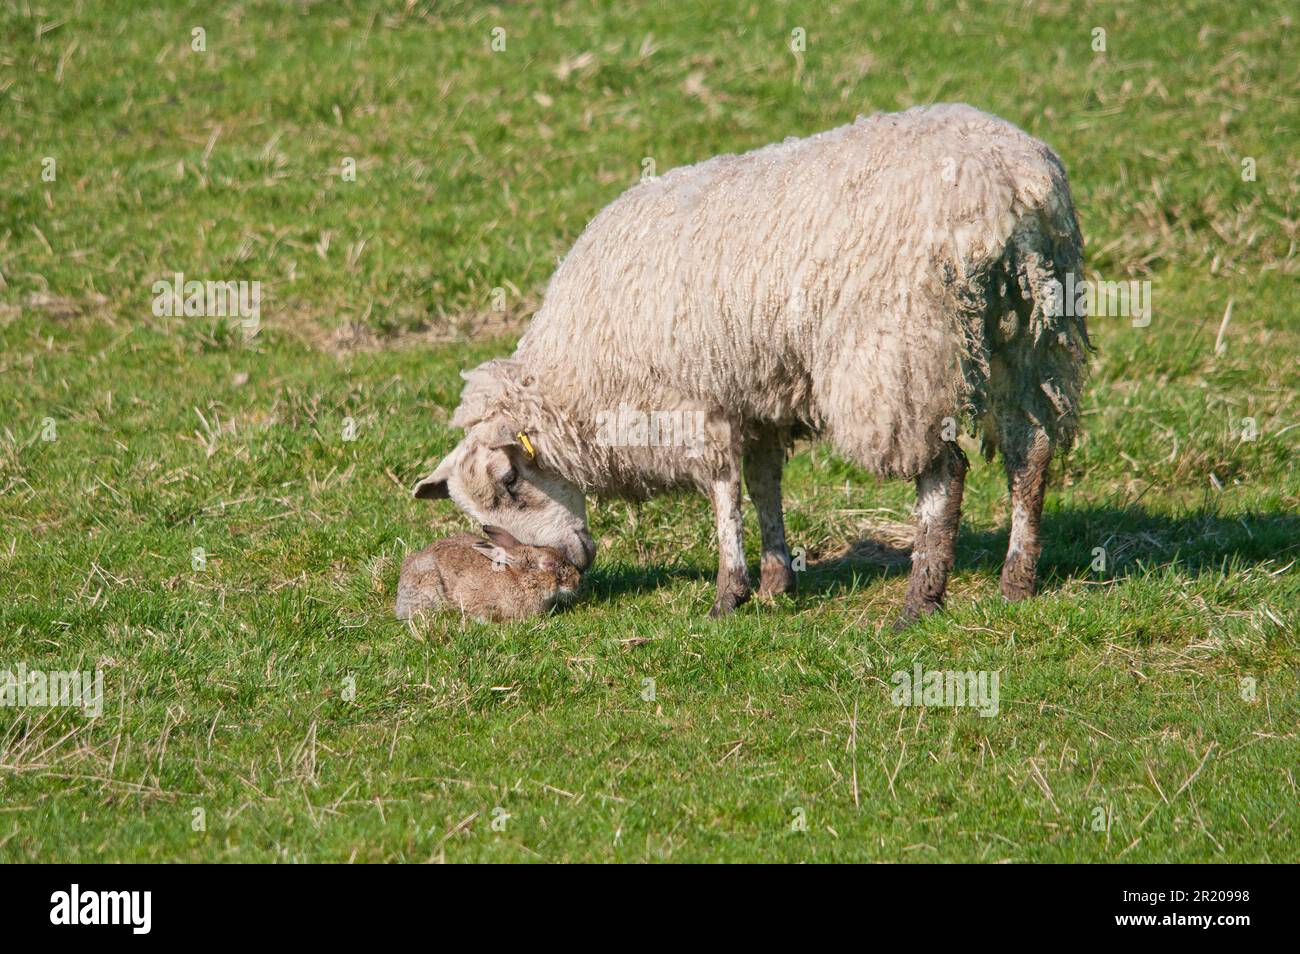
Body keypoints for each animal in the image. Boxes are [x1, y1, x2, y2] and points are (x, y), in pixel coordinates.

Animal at [414, 104, 1090, 622]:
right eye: (482, 524)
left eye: (510, 482)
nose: (568, 567)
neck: (577, 381)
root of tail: (1010, 185)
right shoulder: (761, 393)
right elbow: (765, 483)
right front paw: (774, 581)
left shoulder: (692, 402)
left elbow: (723, 490)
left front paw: (728, 592)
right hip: (1030, 335)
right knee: (1031, 450)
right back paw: (1017, 580)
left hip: (901, 355)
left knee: (943, 471)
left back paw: (921, 598)